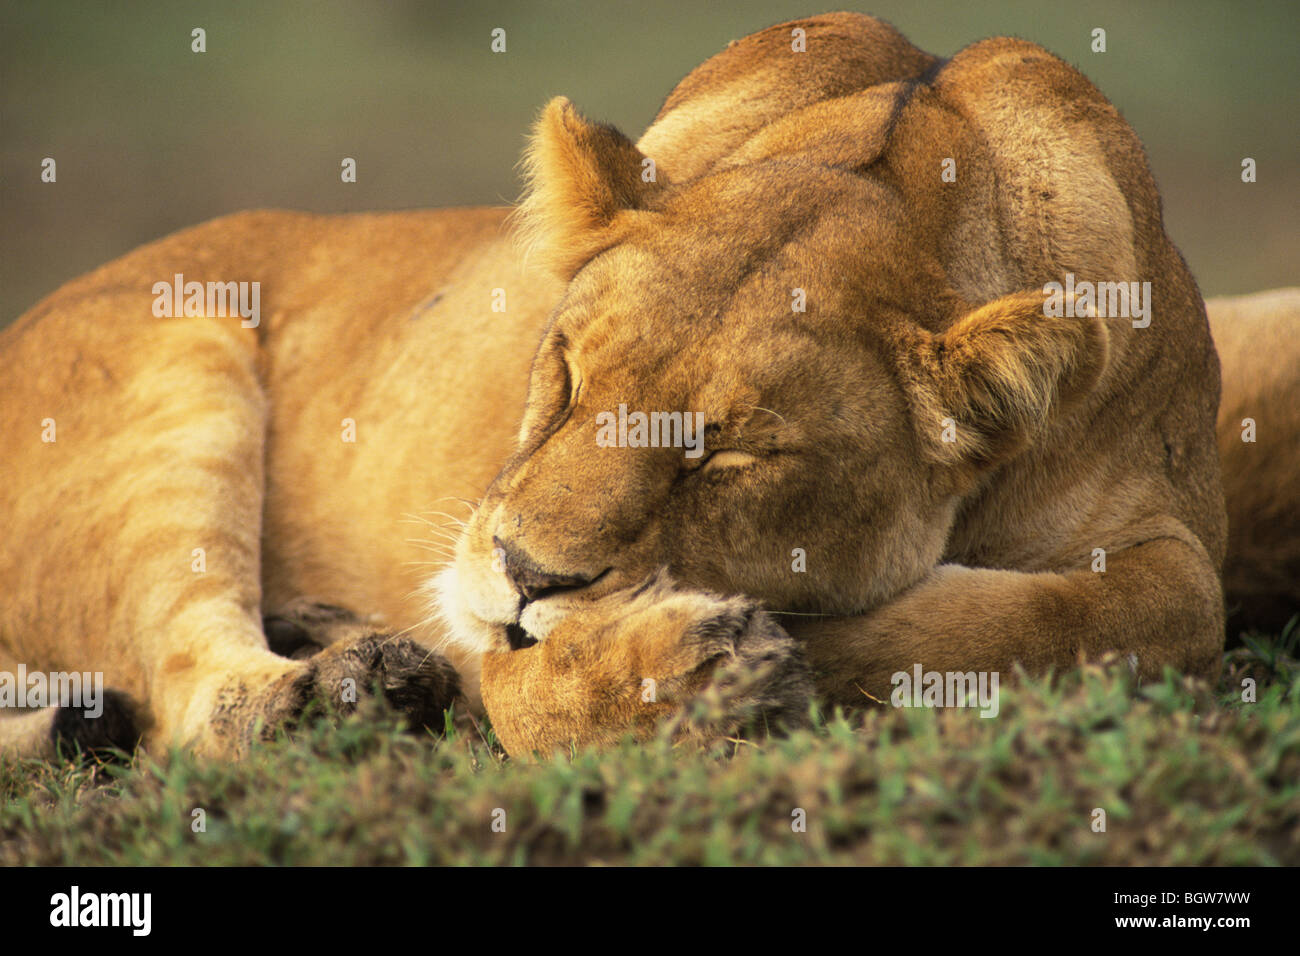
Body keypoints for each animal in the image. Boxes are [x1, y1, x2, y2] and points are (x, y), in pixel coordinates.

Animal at [1, 13, 1295, 760]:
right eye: (566, 371)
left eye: (725, 453)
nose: (524, 574)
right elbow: (530, 692)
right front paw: (695, 661)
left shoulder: (1167, 538)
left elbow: (1066, 617)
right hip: (174, 385)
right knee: (192, 696)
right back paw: (349, 686)